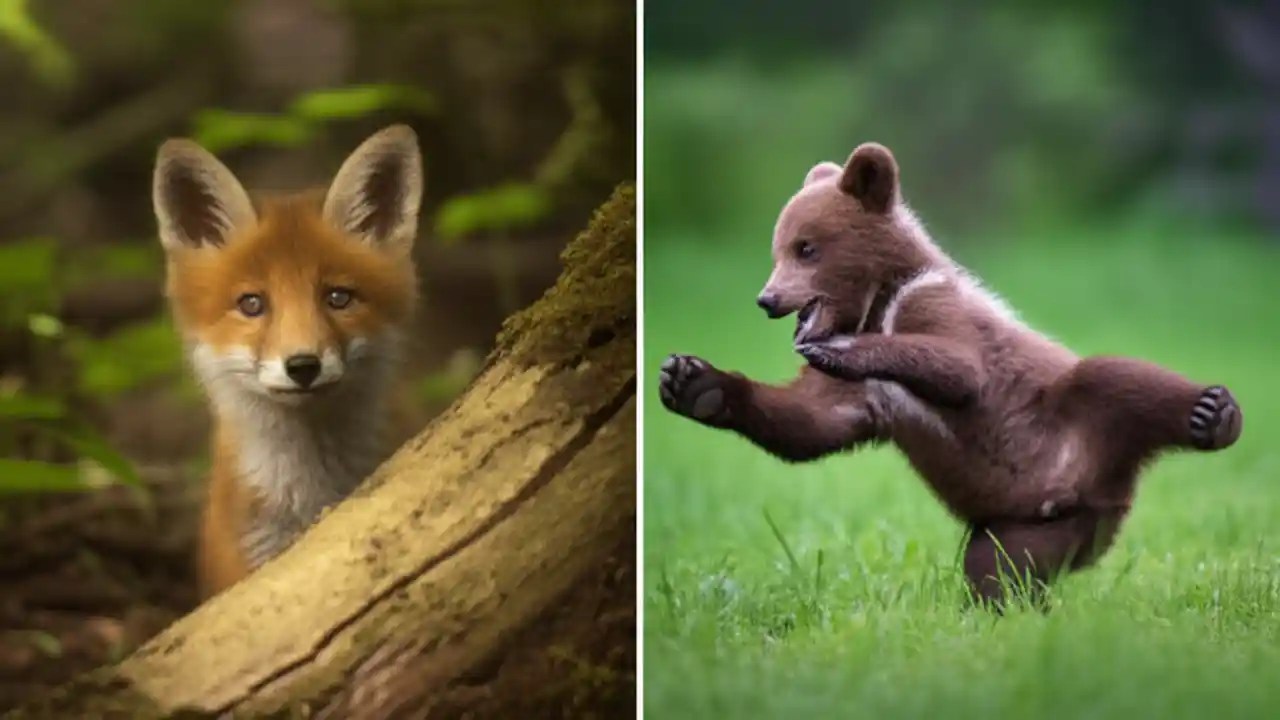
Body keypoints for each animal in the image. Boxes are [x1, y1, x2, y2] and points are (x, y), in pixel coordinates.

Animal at [658, 142, 1244, 607]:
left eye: (807, 248)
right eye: (777, 248)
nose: (768, 299)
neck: (878, 301)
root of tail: (1096, 497)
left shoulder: (937, 311)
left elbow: (959, 368)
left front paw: (839, 348)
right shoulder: (865, 397)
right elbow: (812, 421)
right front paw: (690, 382)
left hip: (1074, 416)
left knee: (1115, 378)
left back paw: (1213, 414)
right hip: (1028, 525)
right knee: (996, 566)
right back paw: (1010, 610)